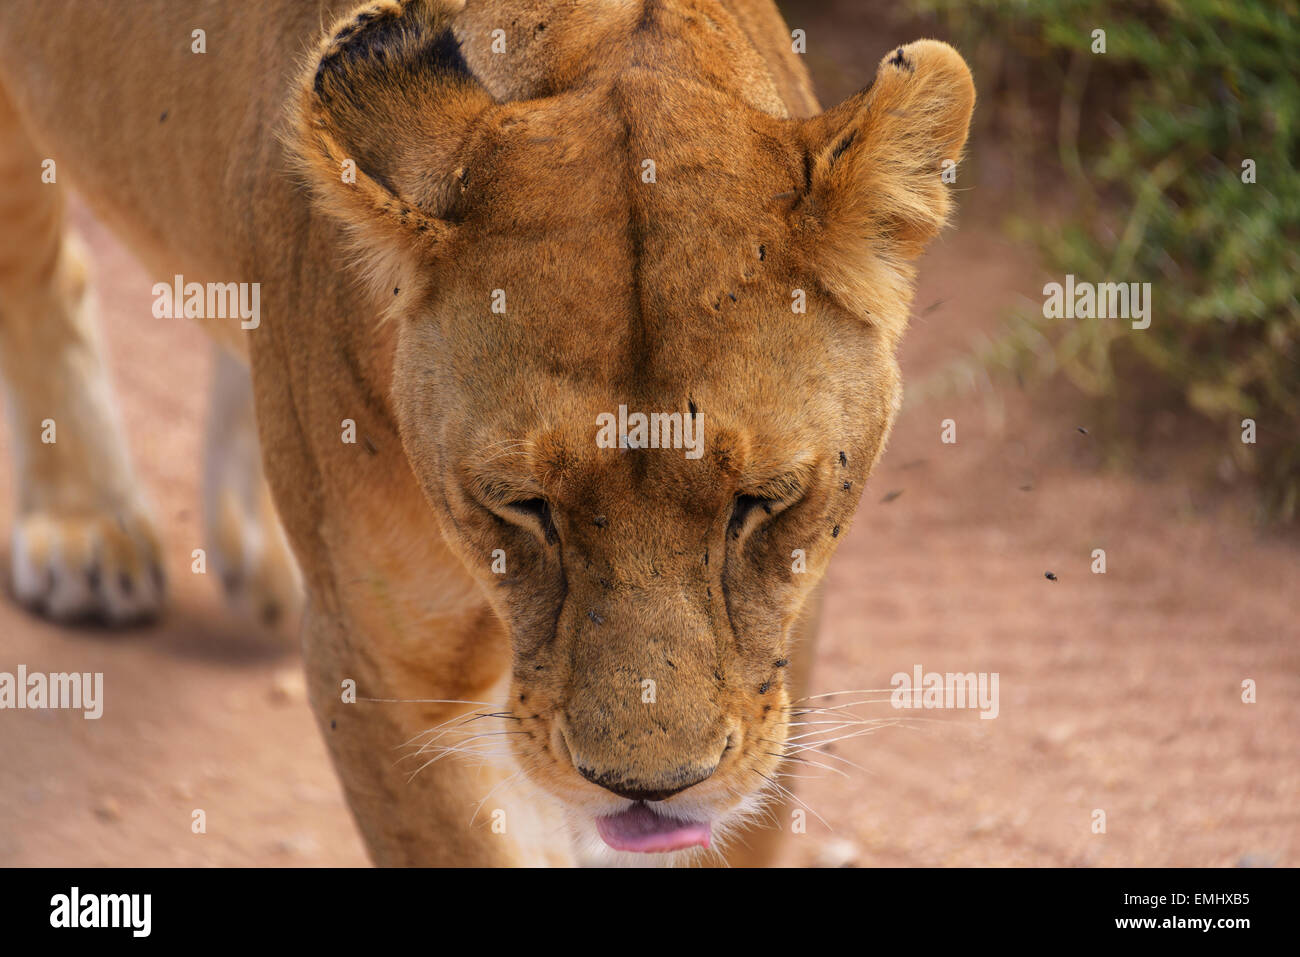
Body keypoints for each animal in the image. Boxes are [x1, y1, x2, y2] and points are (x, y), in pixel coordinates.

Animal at [0, 0, 973, 866]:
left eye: (762, 502)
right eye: (520, 503)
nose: (649, 789)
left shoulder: (782, 662)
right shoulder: (379, 663)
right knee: (45, 266)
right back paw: (87, 531)